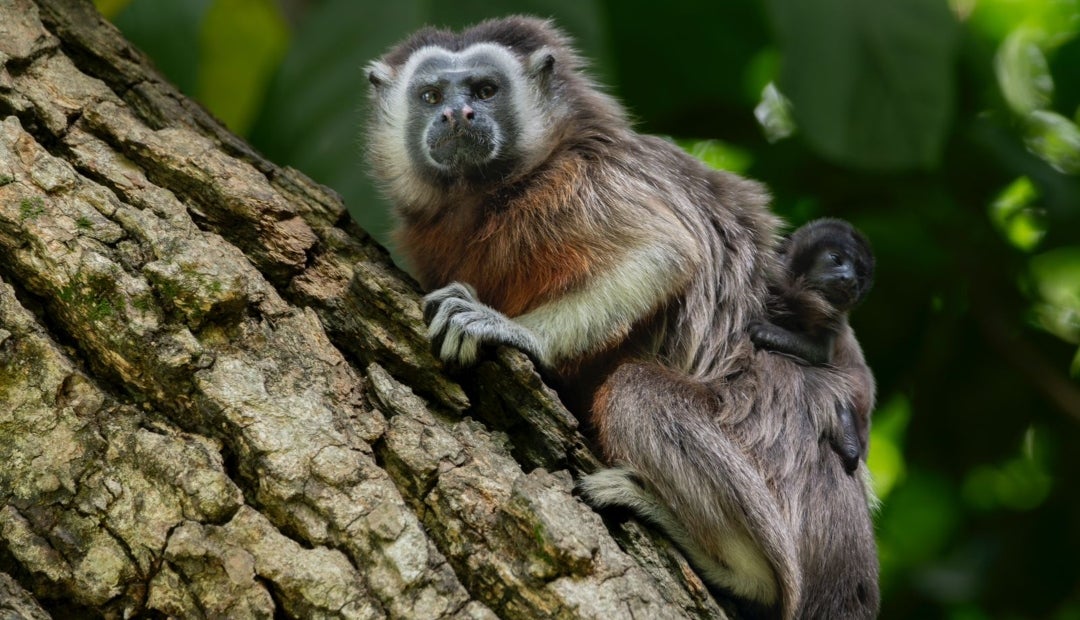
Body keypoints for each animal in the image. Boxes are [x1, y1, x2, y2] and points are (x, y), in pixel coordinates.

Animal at [748, 218, 876, 475]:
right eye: (836, 259)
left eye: (860, 275)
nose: (851, 279)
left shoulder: (833, 320)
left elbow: (819, 352)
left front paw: (767, 332)